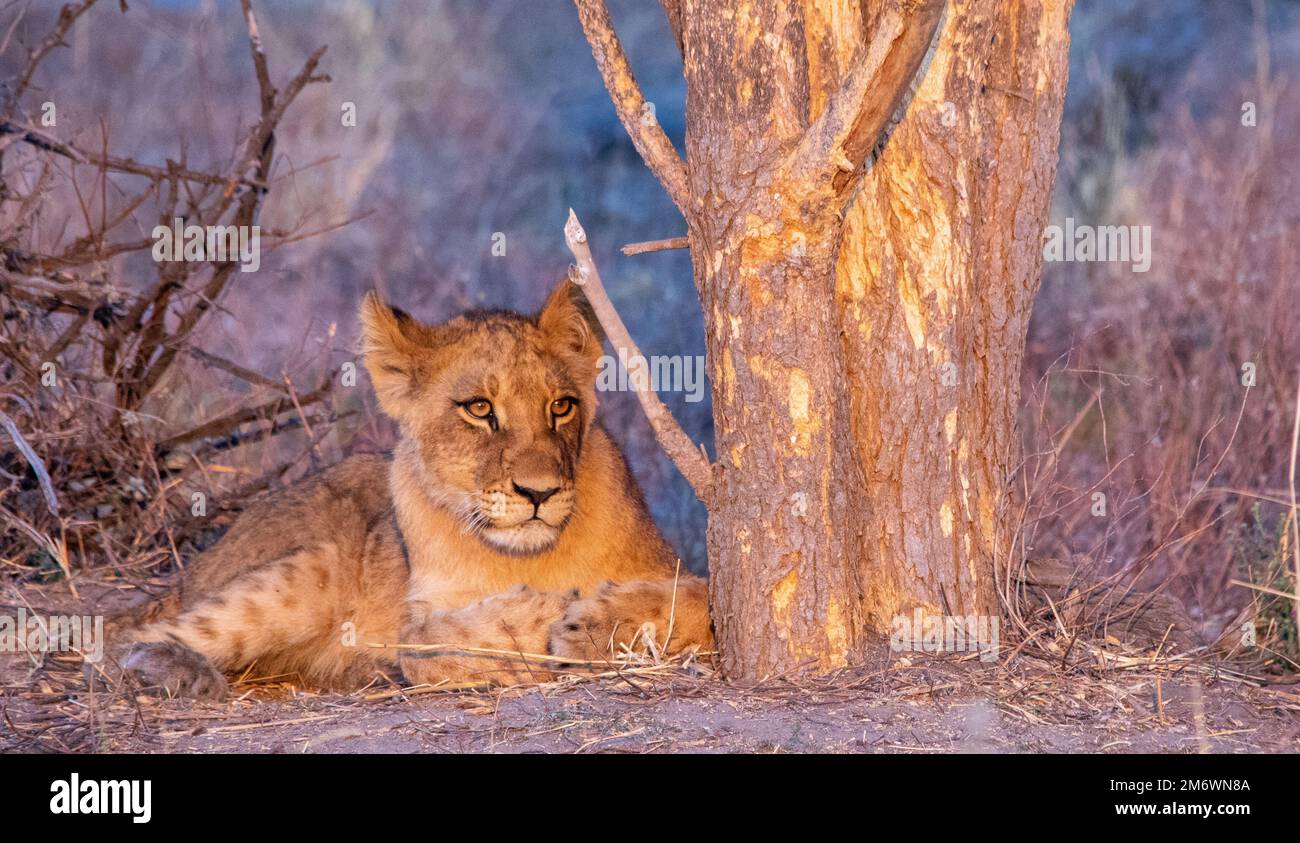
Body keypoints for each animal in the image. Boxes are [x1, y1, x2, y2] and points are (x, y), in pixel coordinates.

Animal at [107, 280, 713, 700]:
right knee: (124, 636)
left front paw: (597, 625)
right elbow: (424, 645)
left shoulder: (671, 567)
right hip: (308, 573)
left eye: (561, 406)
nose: (539, 493)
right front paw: (545, 616)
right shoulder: (418, 612)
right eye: (479, 408)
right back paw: (178, 670)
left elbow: (700, 600)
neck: (527, 558)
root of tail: (196, 568)